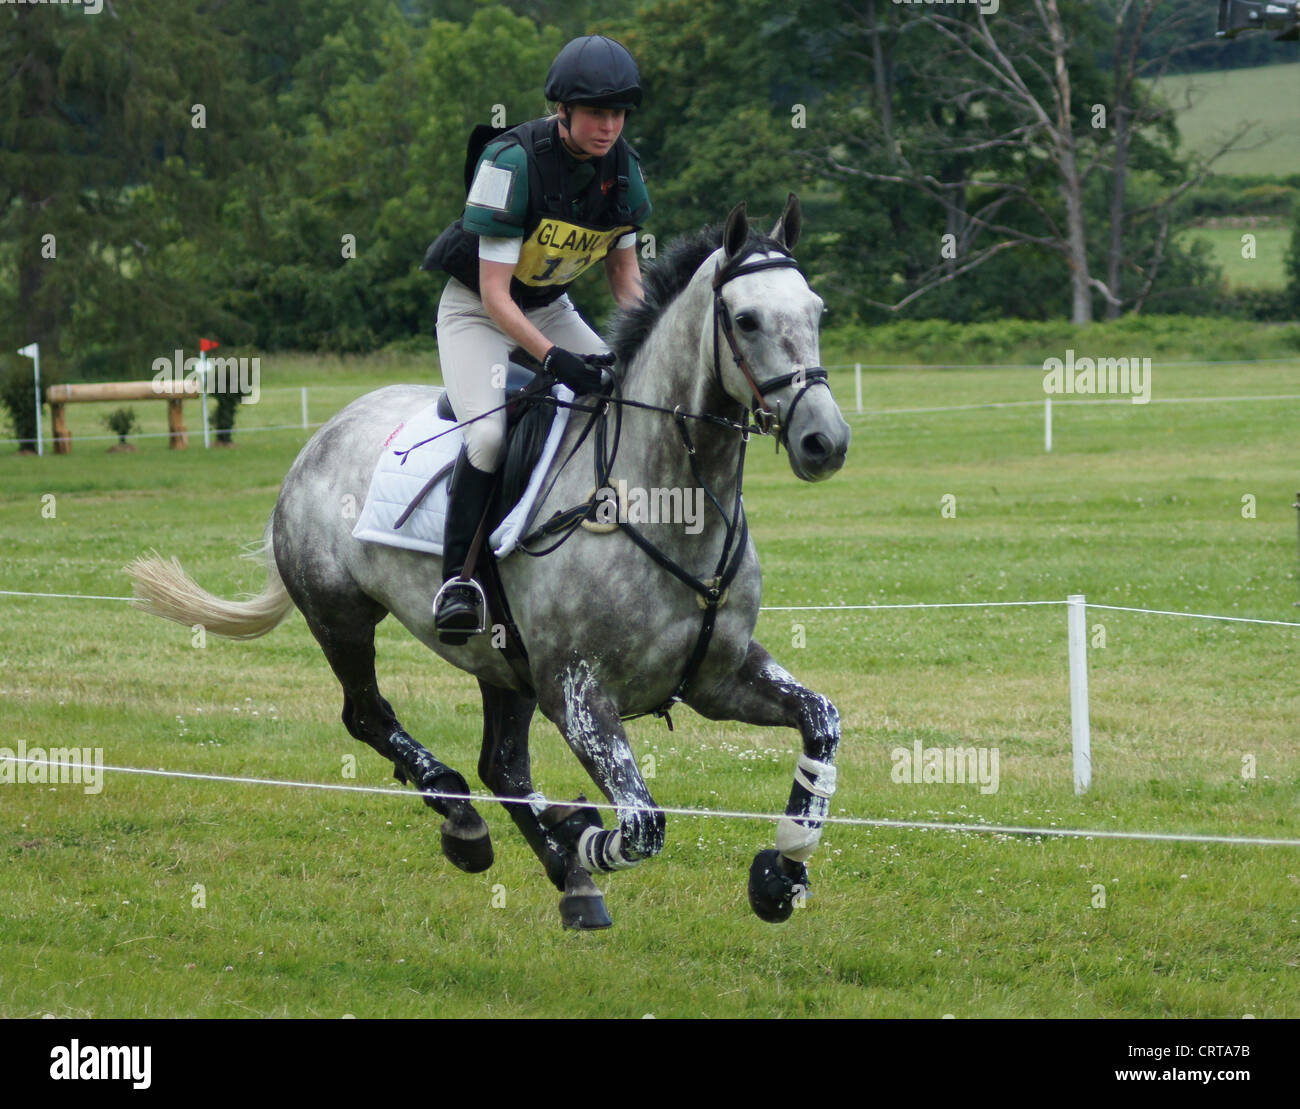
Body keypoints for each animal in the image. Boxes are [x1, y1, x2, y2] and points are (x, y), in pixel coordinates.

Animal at [129, 195, 851, 929]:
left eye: (817, 310)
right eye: (746, 319)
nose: (825, 442)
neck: (667, 502)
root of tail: (320, 438)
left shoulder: (718, 675)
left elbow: (820, 722)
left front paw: (781, 870)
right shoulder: (577, 694)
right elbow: (642, 824)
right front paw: (581, 831)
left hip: (501, 660)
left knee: (501, 764)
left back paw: (567, 878)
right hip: (342, 617)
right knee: (370, 717)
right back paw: (467, 821)